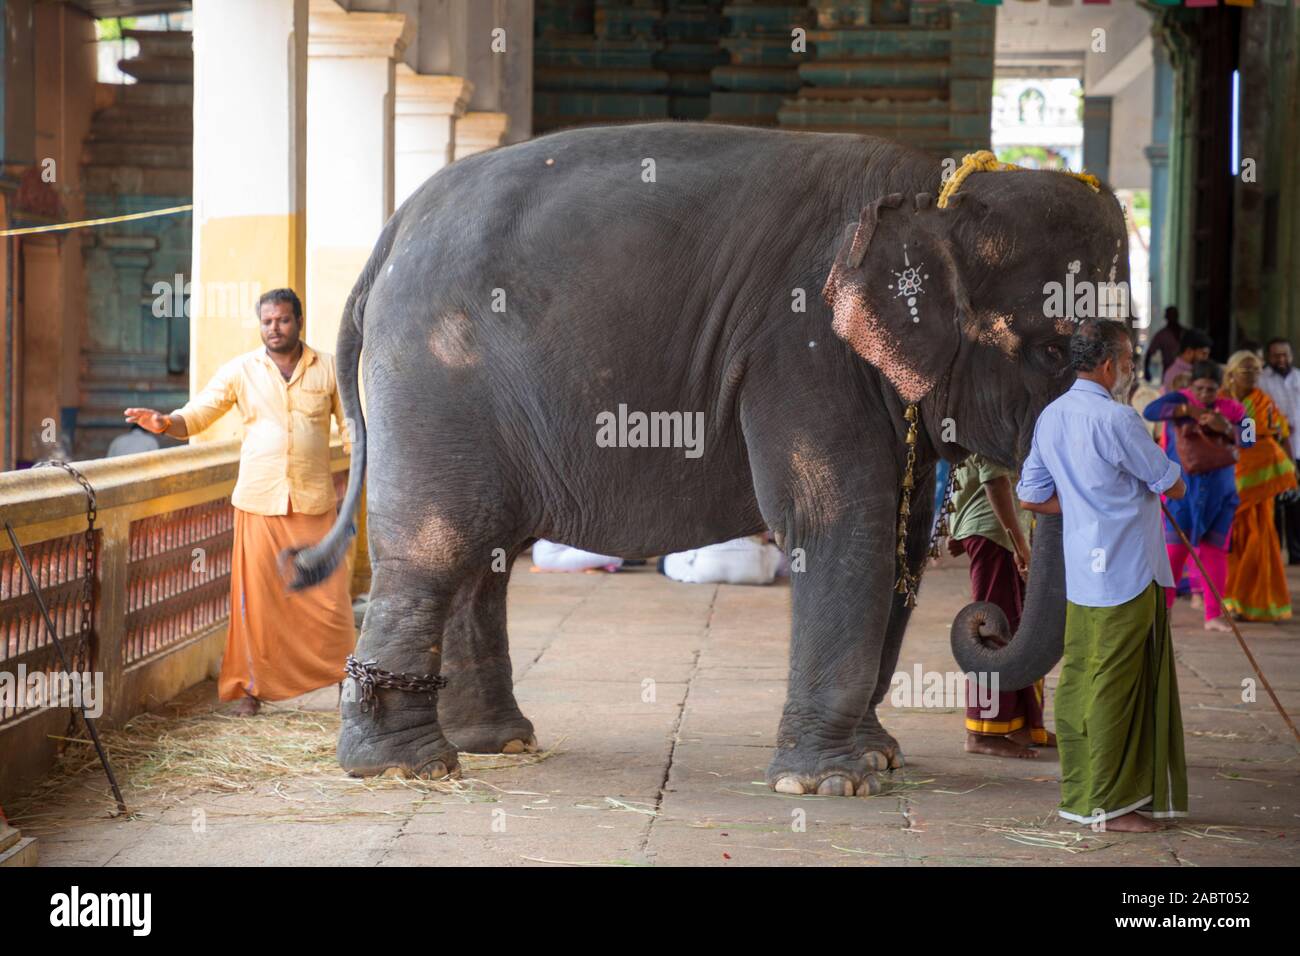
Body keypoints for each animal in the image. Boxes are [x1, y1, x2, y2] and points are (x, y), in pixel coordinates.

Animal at [288, 121, 1129, 798]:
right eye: (1053, 349)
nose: (984, 623)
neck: (937, 193)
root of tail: (389, 237)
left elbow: (902, 535)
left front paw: (877, 760)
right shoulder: (800, 345)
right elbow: (838, 519)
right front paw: (825, 786)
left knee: (481, 551)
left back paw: (497, 743)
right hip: (437, 377)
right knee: (439, 545)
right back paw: (407, 768)